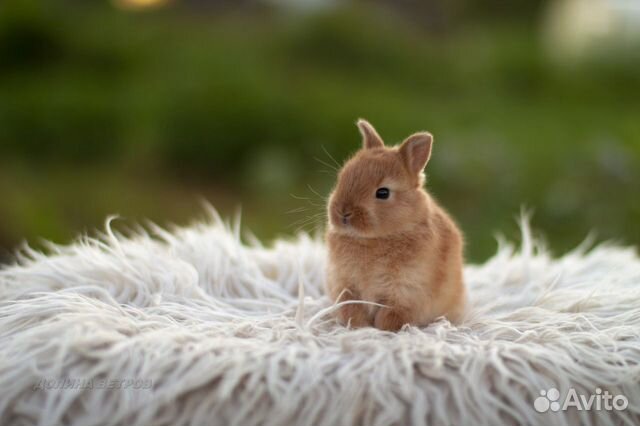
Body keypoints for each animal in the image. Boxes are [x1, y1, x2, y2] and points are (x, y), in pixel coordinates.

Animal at [325, 119, 466, 331]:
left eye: (383, 193)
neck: (375, 239)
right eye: (342, 178)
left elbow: (391, 317)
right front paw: (359, 326)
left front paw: (382, 329)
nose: (343, 213)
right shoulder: (346, 286)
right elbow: (352, 310)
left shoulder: (406, 291)